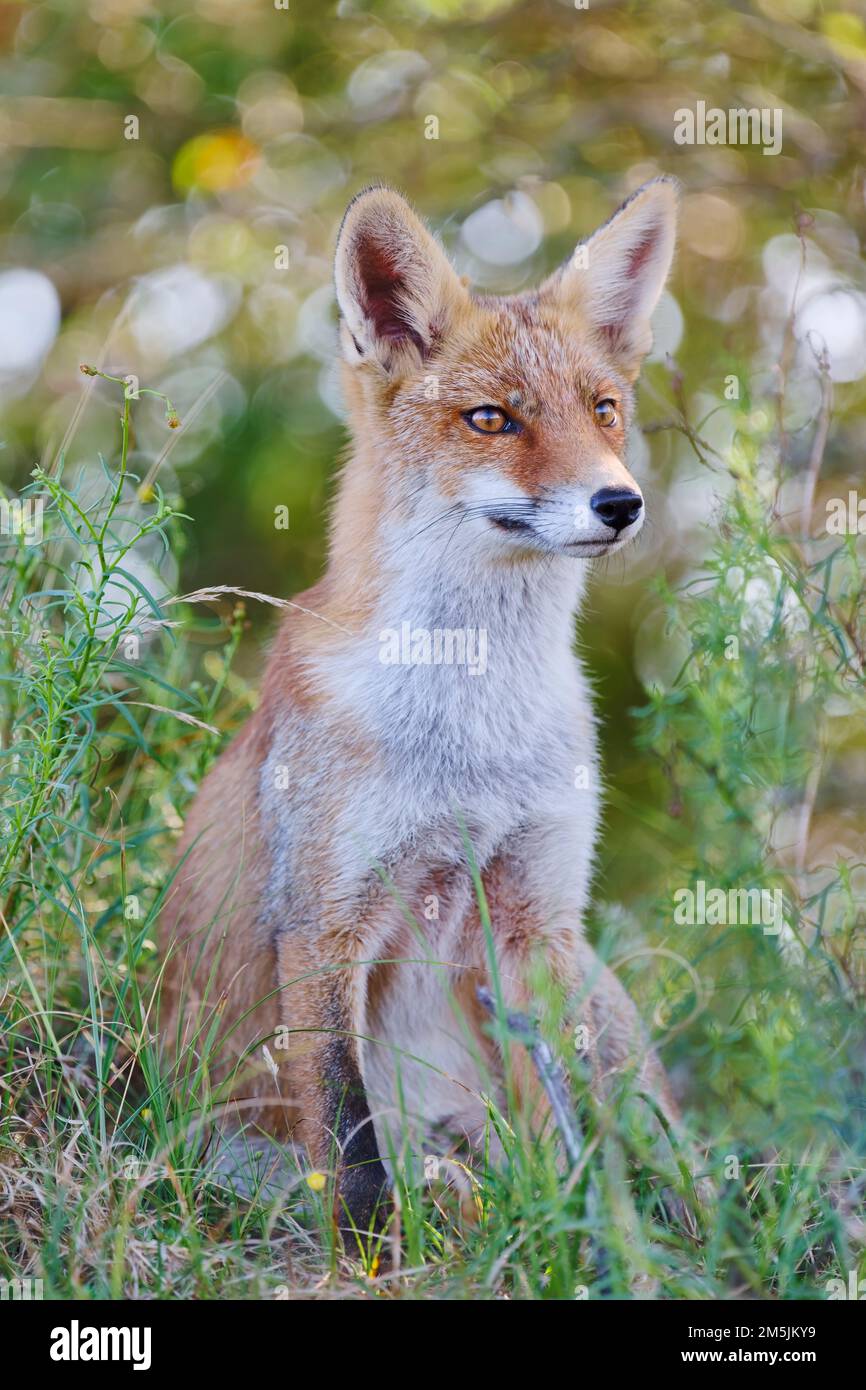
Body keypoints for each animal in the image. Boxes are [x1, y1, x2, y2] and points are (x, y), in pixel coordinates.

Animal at [160, 177, 683, 1239]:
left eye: (604, 410)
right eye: (491, 419)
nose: (621, 503)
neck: (473, 734)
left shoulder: (535, 920)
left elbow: (579, 1139)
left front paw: (606, 1243)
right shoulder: (324, 919)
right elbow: (350, 1143)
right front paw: (368, 1255)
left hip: (595, 985)